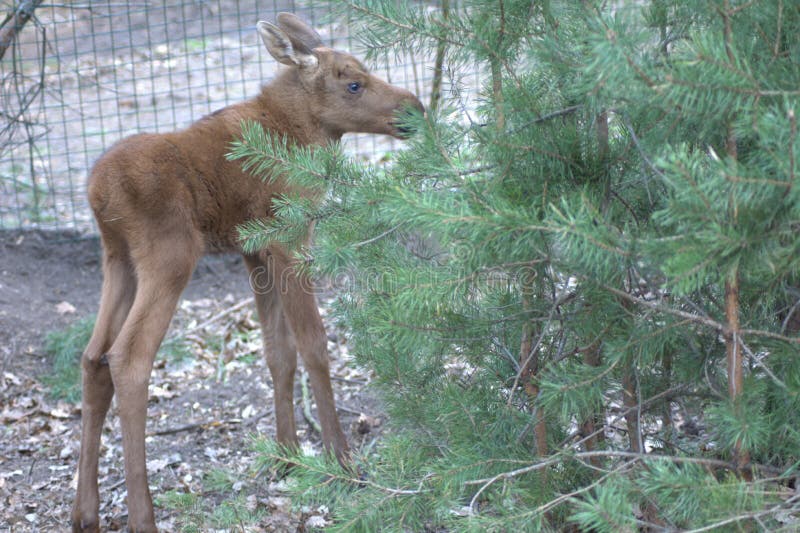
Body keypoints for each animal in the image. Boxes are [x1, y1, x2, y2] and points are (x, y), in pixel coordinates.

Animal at [71, 13, 423, 532]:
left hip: (118, 261)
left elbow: (278, 351)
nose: (415, 108)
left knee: (94, 358)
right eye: (354, 84)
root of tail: (98, 190)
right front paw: (341, 460)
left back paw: (85, 513)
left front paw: (287, 455)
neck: (305, 135)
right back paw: (143, 515)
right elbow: (314, 344)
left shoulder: (255, 251)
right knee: (129, 359)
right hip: (170, 257)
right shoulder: (290, 239)